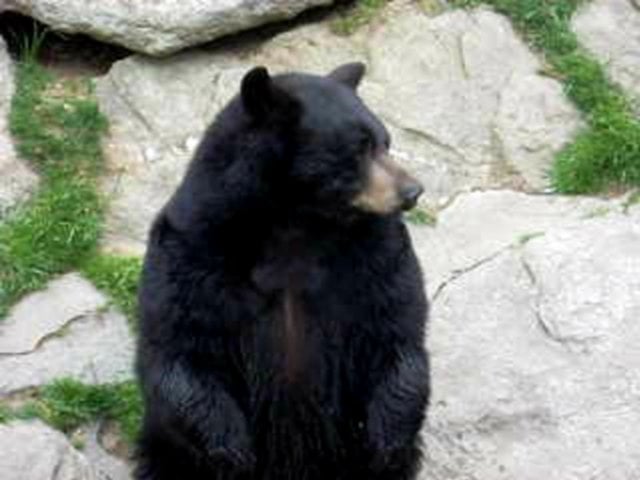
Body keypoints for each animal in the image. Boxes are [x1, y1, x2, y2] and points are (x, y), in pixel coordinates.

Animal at [135, 62, 430, 480]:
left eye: (385, 142)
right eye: (359, 148)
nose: (411, 191)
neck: (295, 222)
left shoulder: (376, 250)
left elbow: (395, 330)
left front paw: (386, 441)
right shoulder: (192, 250)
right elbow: (180, 345)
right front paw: (232, 449)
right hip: (168, 453)